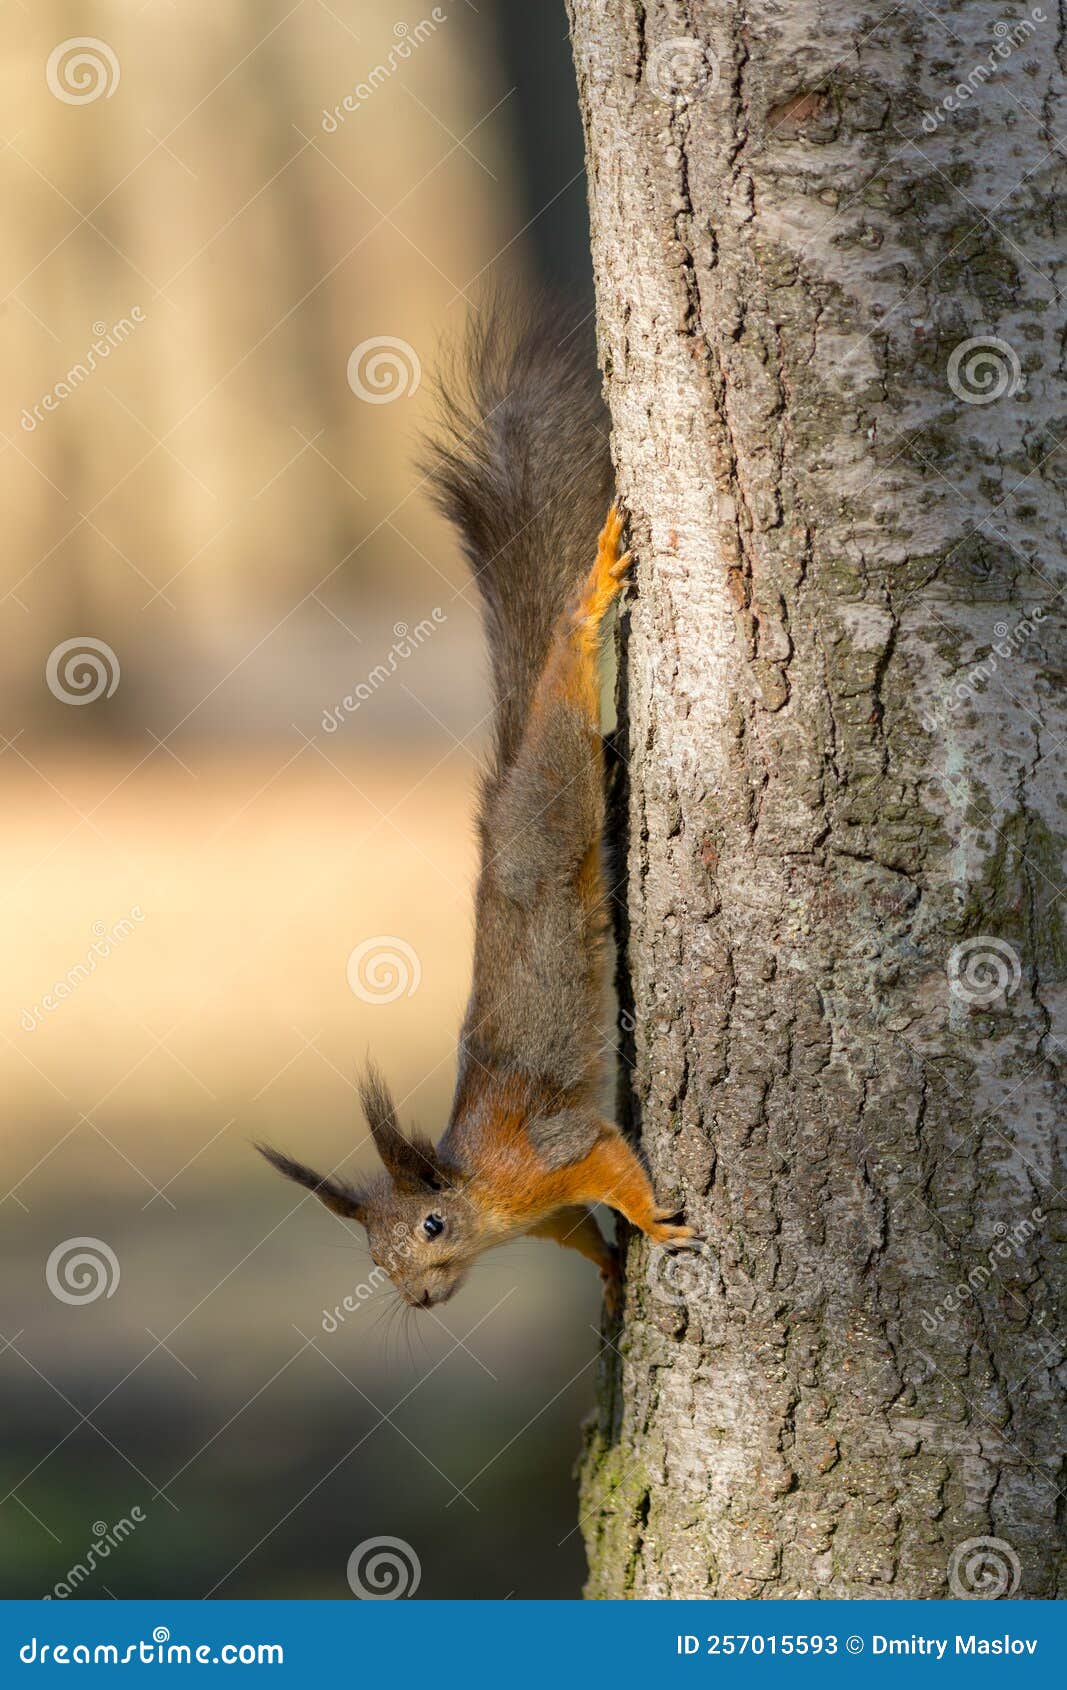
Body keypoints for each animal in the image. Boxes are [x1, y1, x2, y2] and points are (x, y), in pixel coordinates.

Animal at [258, 302, 696, 1315]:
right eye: (373, 1261)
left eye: (429, 1226)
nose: (421, 1302)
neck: (484, 1199)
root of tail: (498, 793)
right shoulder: (546, 1214)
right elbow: (580, 1236)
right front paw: (610, 1277)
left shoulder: (550, 1155)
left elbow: (612, 1164)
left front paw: (650, 1223)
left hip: (552, 788)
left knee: (565, 680)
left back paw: (589, 599)